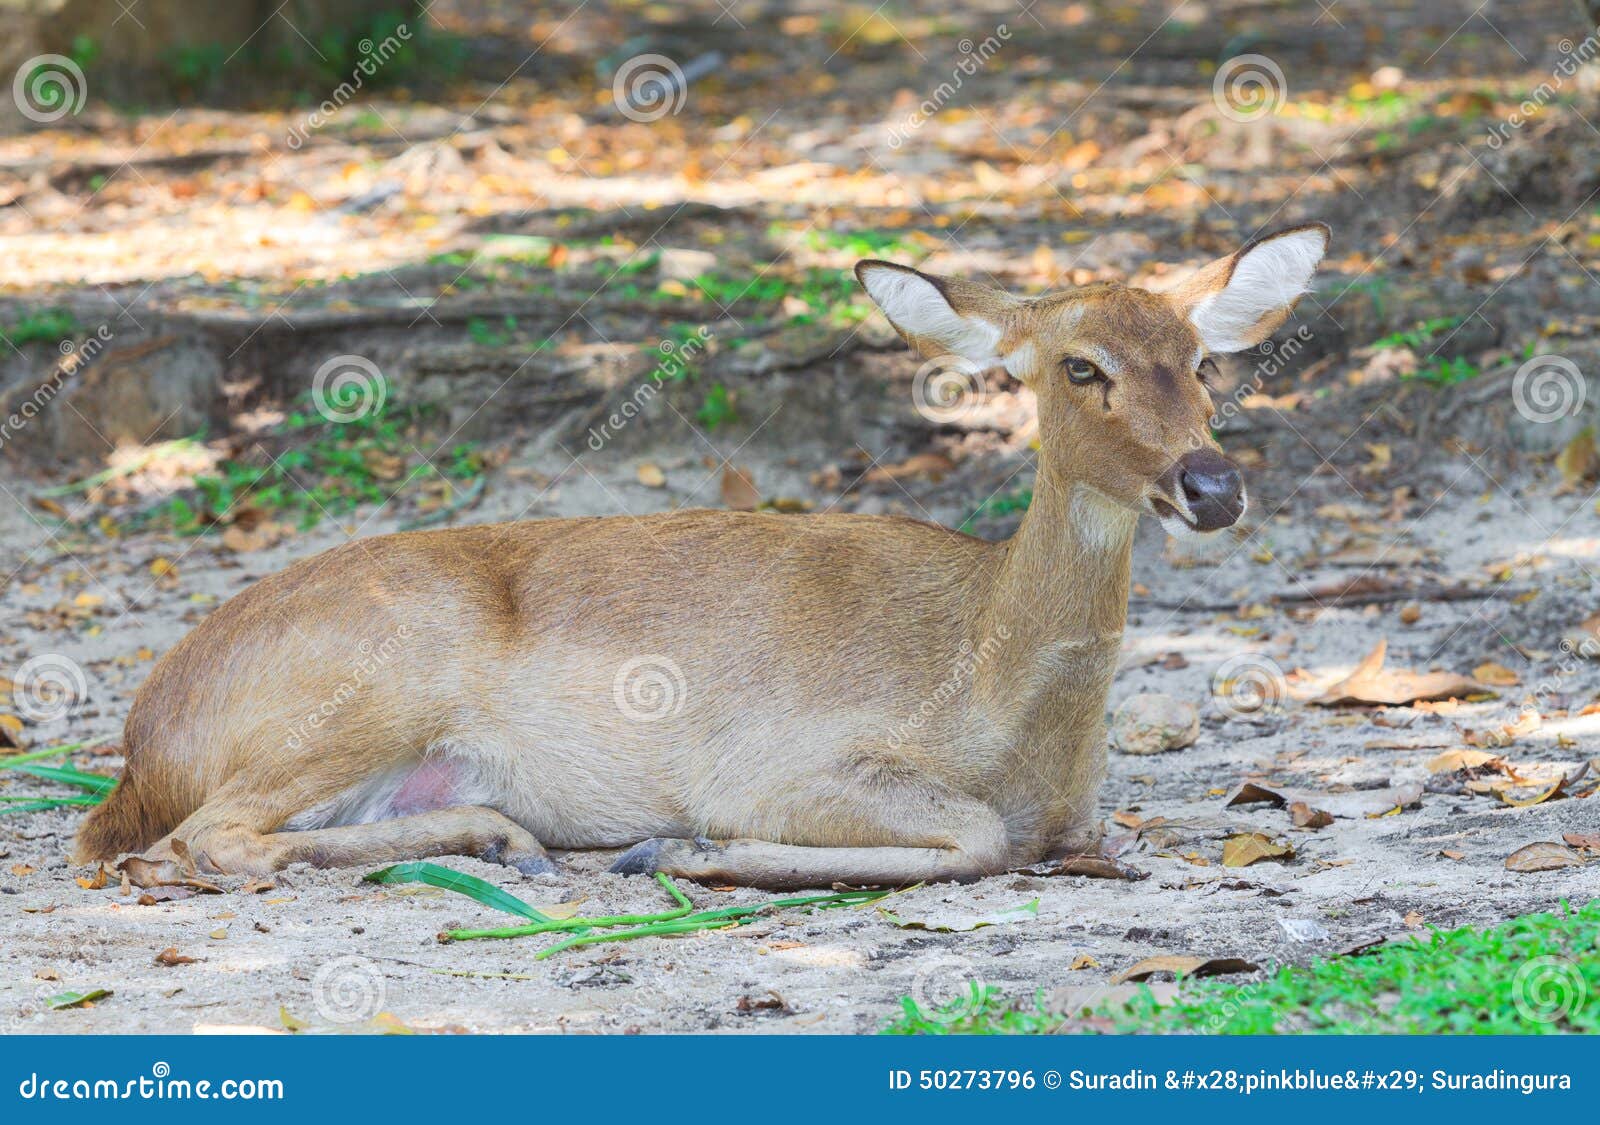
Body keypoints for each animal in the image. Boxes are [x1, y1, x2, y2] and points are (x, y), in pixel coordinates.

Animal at [75, 223, 1328, 890]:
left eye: (1204, 364)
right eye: (1080, 366)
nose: (1212, 486)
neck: (995, 695)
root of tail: (148, 739)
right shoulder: (782, 759)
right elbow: (971, 839)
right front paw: (686, 855)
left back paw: (503, 835)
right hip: (366, 679)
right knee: (201, 840)